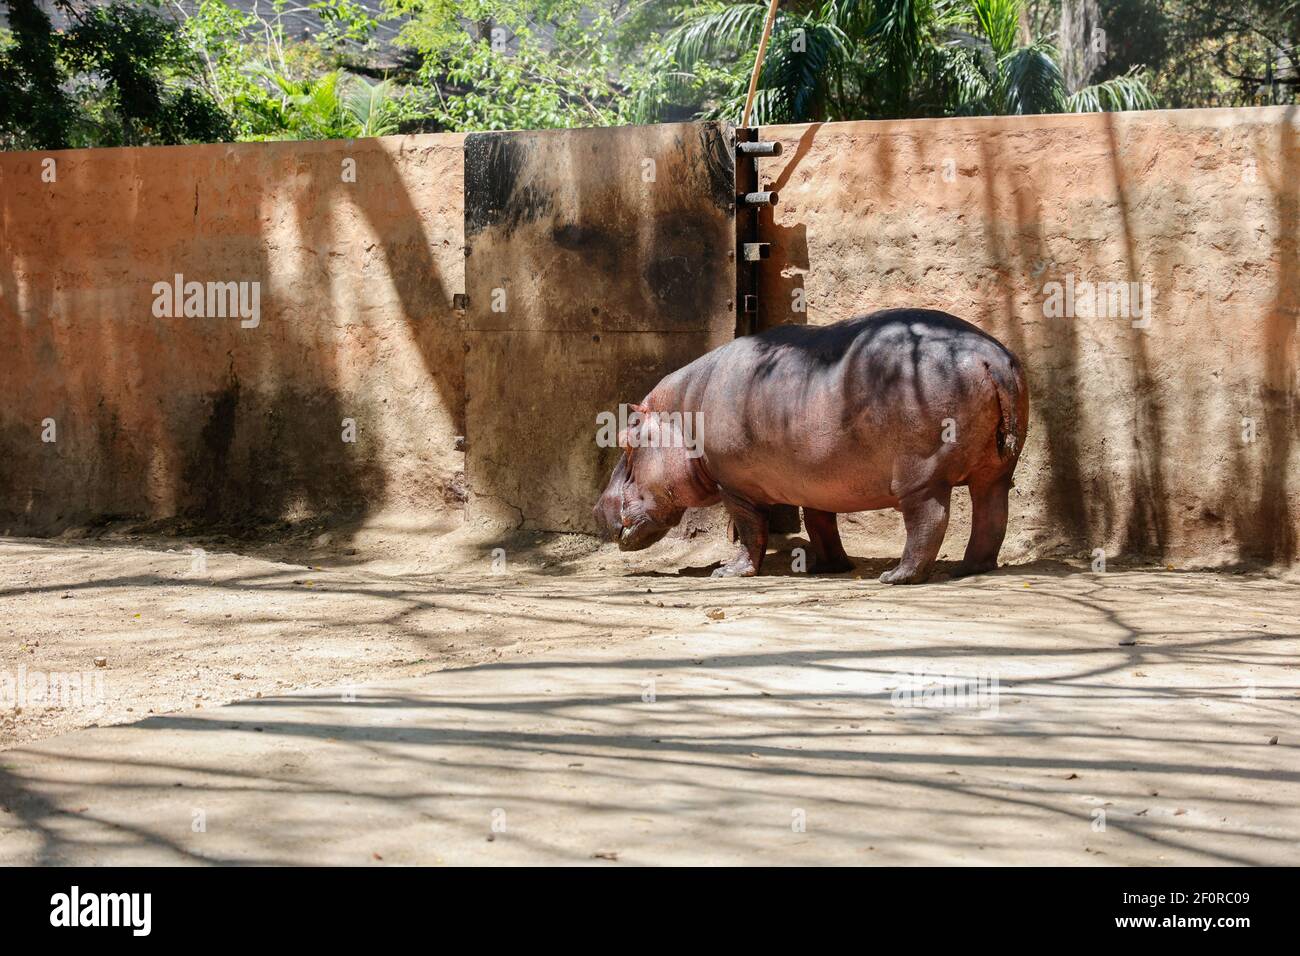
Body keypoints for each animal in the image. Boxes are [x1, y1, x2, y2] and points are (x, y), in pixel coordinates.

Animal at [592, 308, 1028, 584]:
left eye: (627, 442)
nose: (597, 508)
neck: (684, 412)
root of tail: (990, 357)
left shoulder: (734, 487)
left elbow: (751, 530)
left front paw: (727, 572)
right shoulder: (817, 482)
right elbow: (821, 525)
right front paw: (830, 567)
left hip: (920, 476)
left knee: (929, 520)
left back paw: (897, 577)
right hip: (995, 471)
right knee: (991, 513)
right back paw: (970, 569)